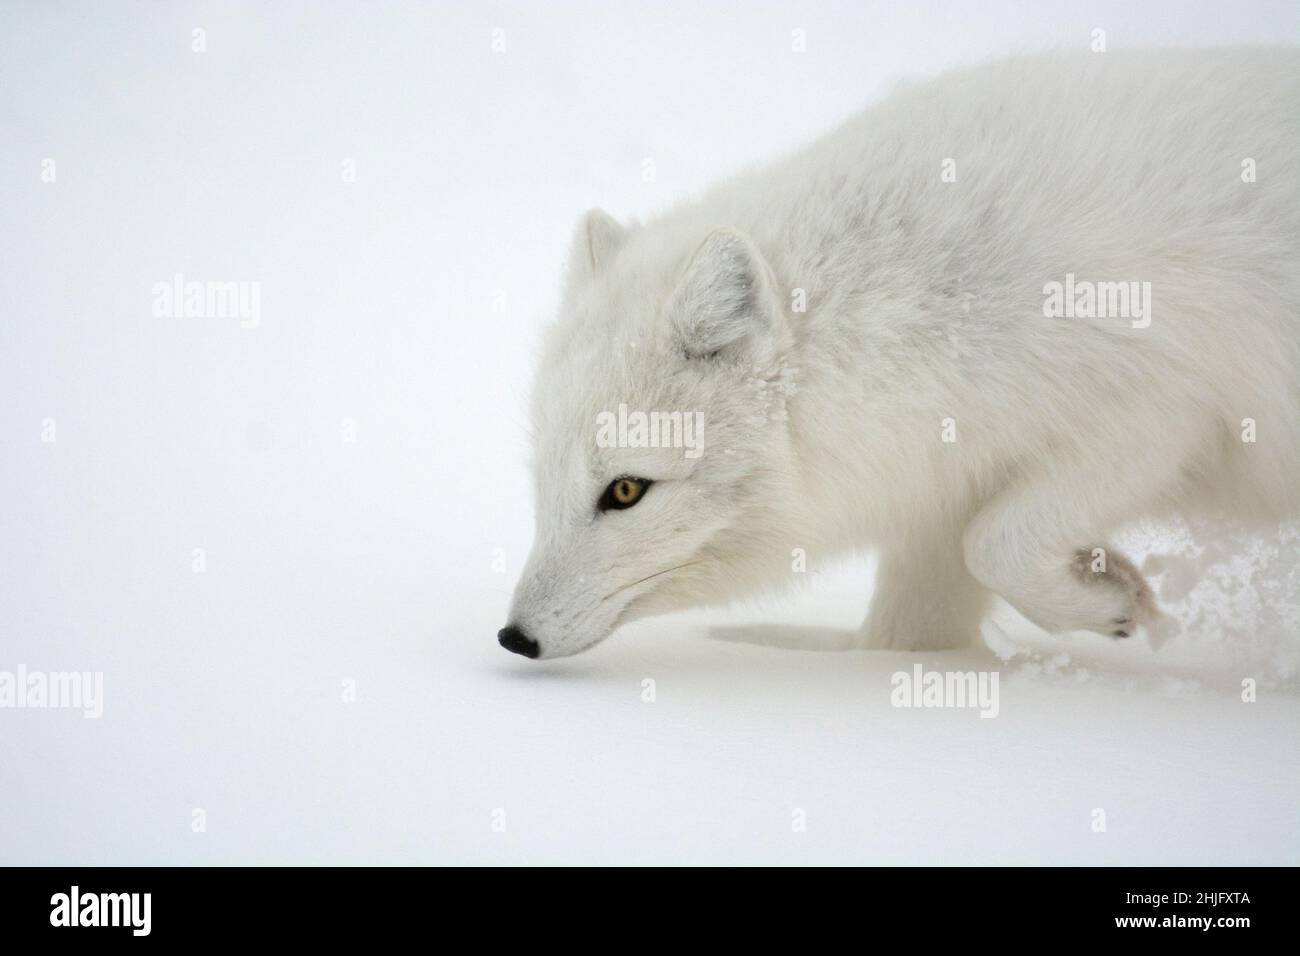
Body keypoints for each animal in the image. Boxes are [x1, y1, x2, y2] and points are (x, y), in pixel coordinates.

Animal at [499, 50, 1300, 660]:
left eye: (626, 490)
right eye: (543, 480)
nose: (515, 638)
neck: (917, 304)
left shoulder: (1159, 414)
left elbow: (995, 544)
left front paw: (1110, 601)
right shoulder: (944, 482)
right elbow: (910, 630)